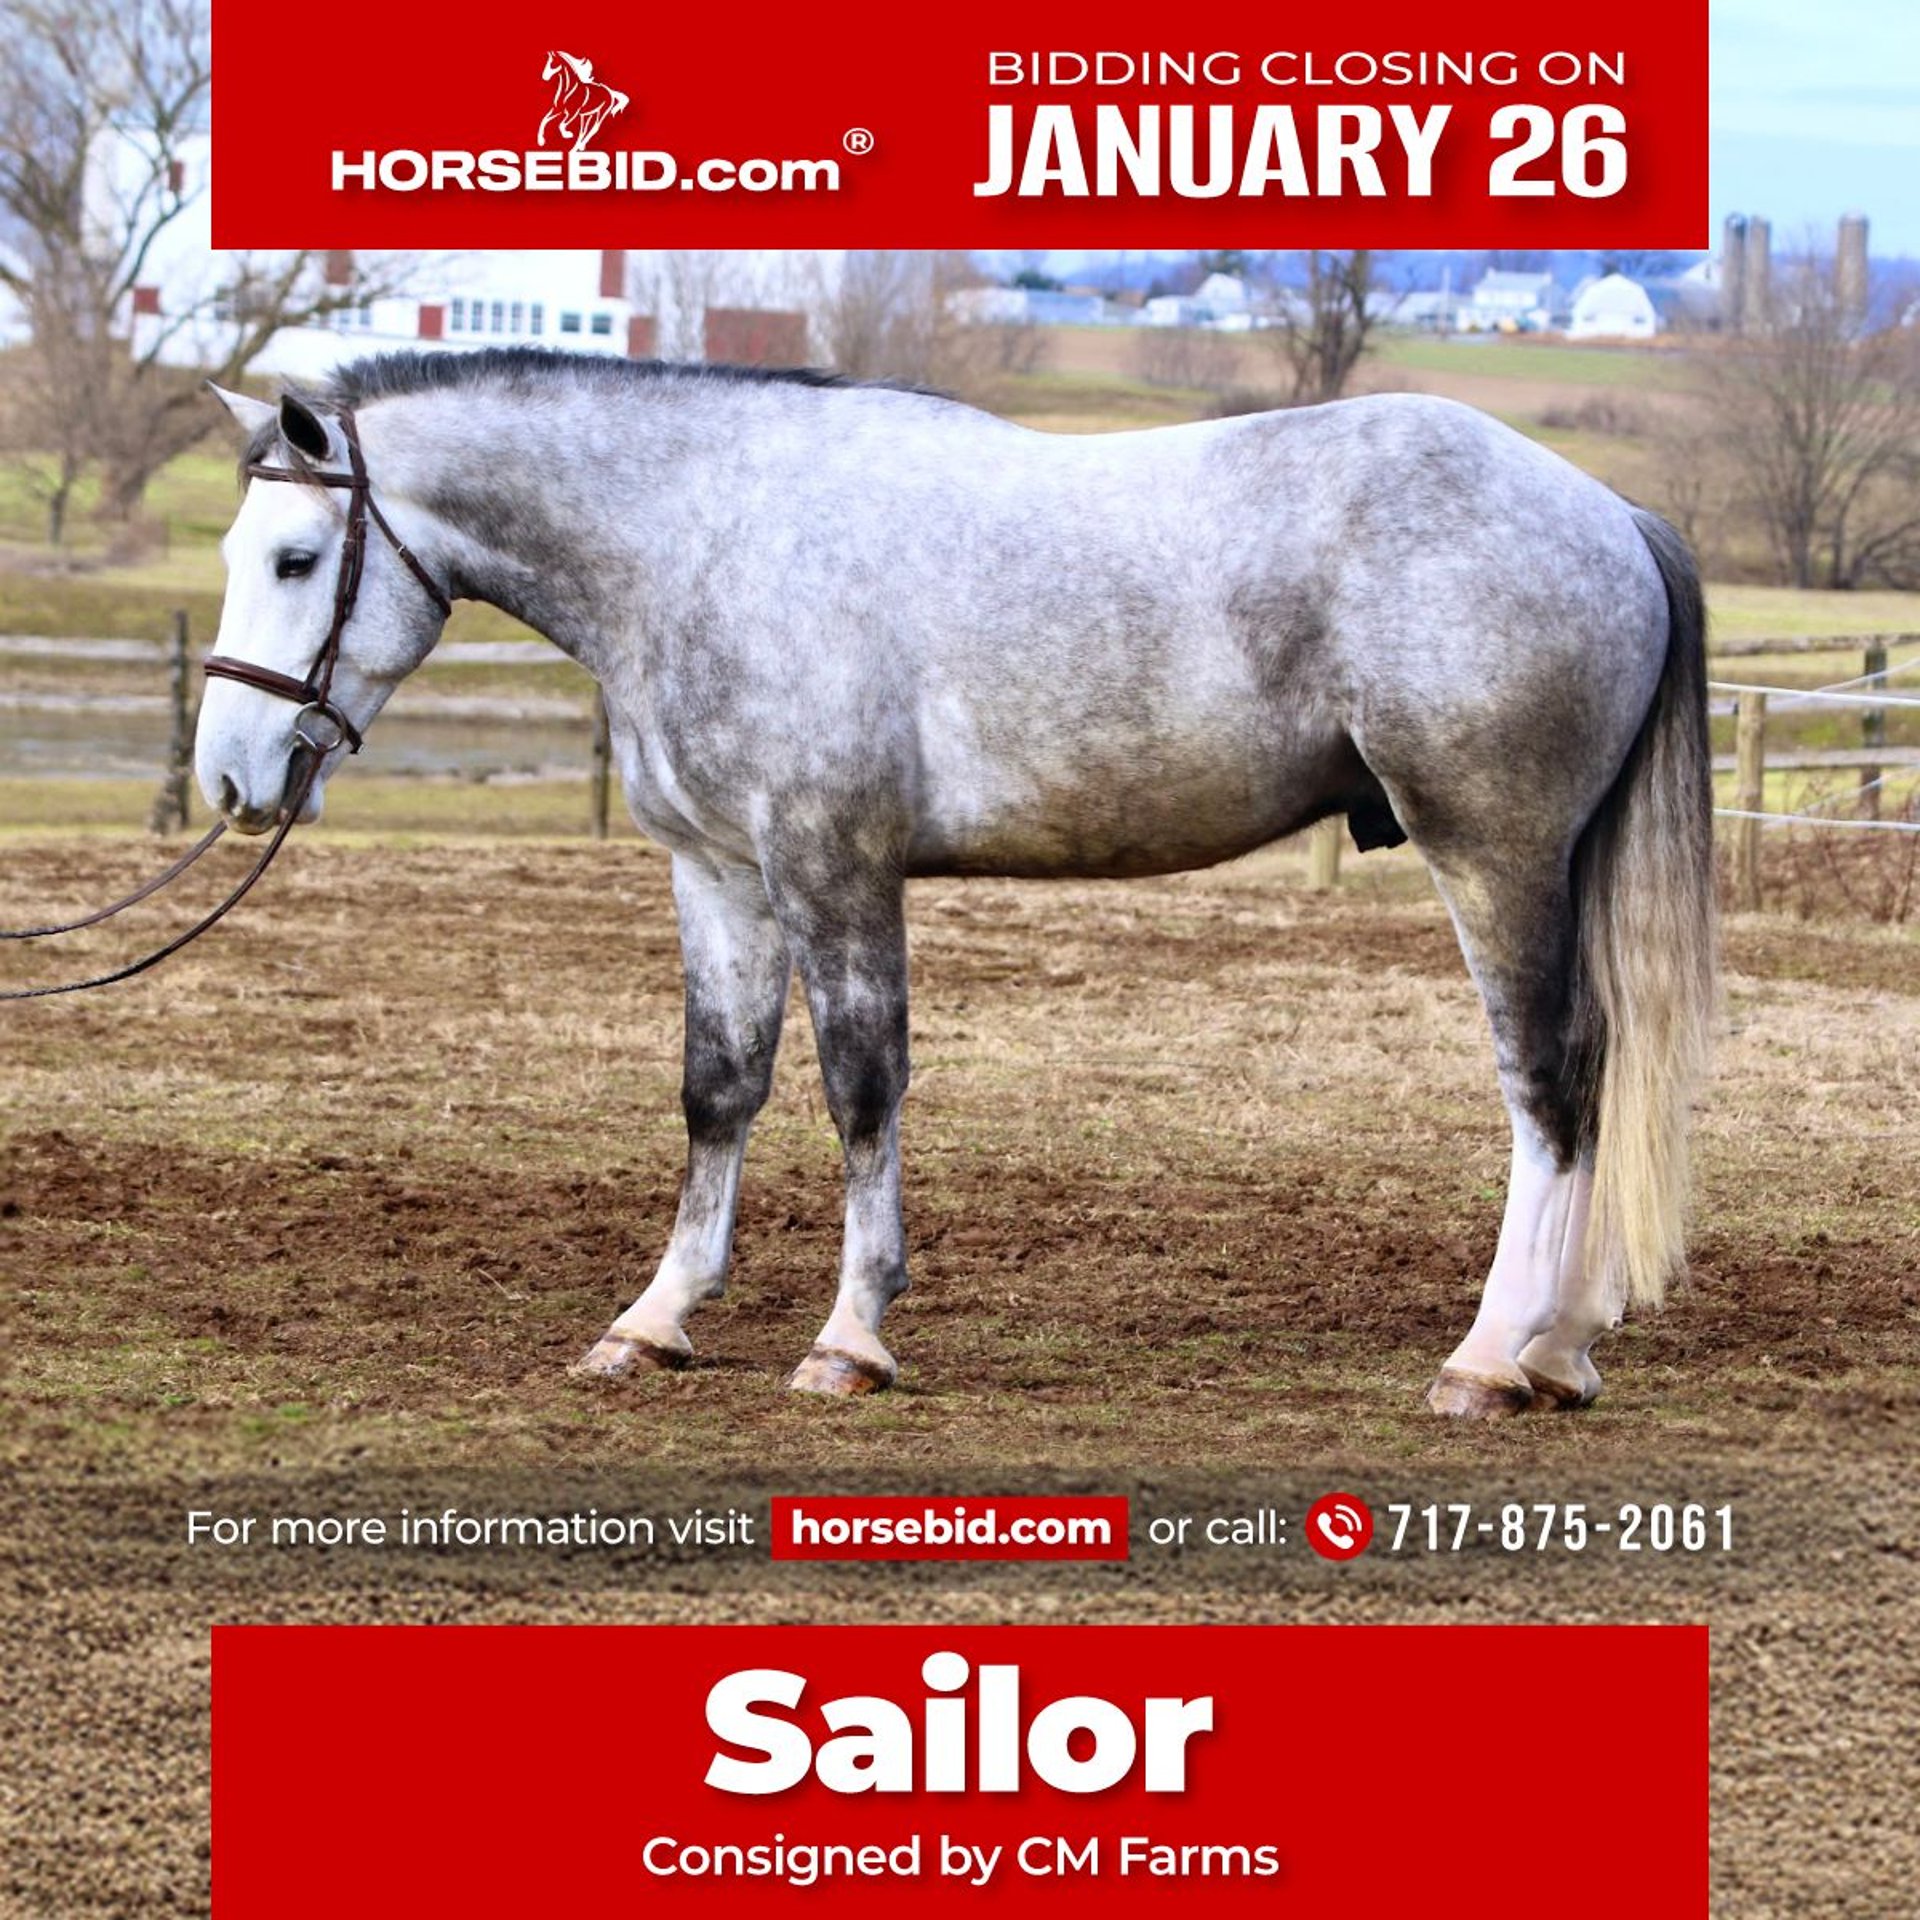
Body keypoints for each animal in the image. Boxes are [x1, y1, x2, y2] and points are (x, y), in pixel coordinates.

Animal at [200, 347, 1715, 1415]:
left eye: (294, 558)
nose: (229, 775)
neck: (712, 538)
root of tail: (1608, 513)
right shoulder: (721, 877)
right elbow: (719, 1091)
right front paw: (655, 1320)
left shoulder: (835, 870)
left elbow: (860, 1089)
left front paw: (850, 1338)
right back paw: (1563, 1350)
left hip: (1494, 858)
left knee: (1551, 1080)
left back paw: (1494, 1356)